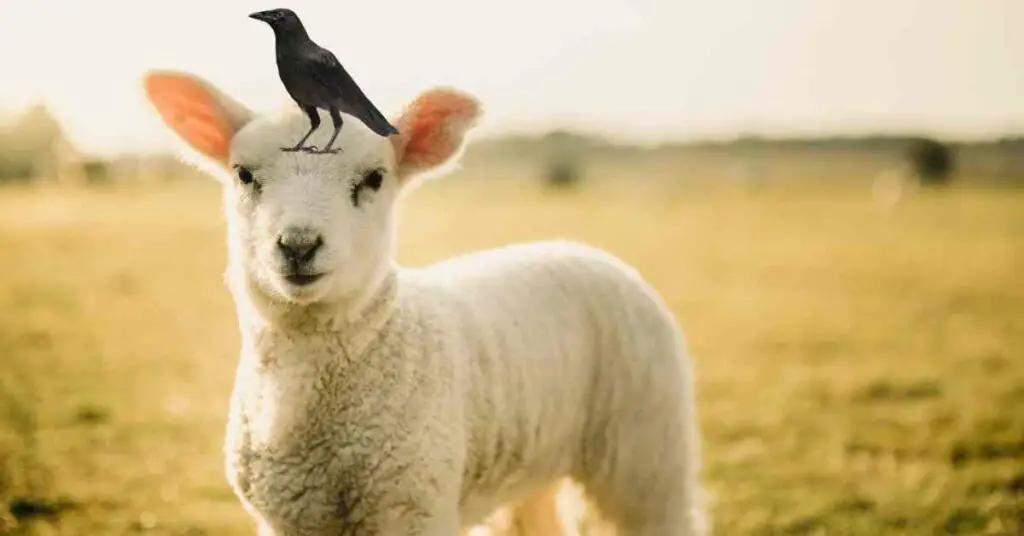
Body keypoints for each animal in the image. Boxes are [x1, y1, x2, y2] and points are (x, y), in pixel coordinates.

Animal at [140, 68, 709, 536]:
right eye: (243, 174)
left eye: (374, 179)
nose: (299, 245)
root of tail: (585, 249)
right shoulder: (288, 518)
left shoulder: (411, 505)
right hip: (534, 467)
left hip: (647, 450)